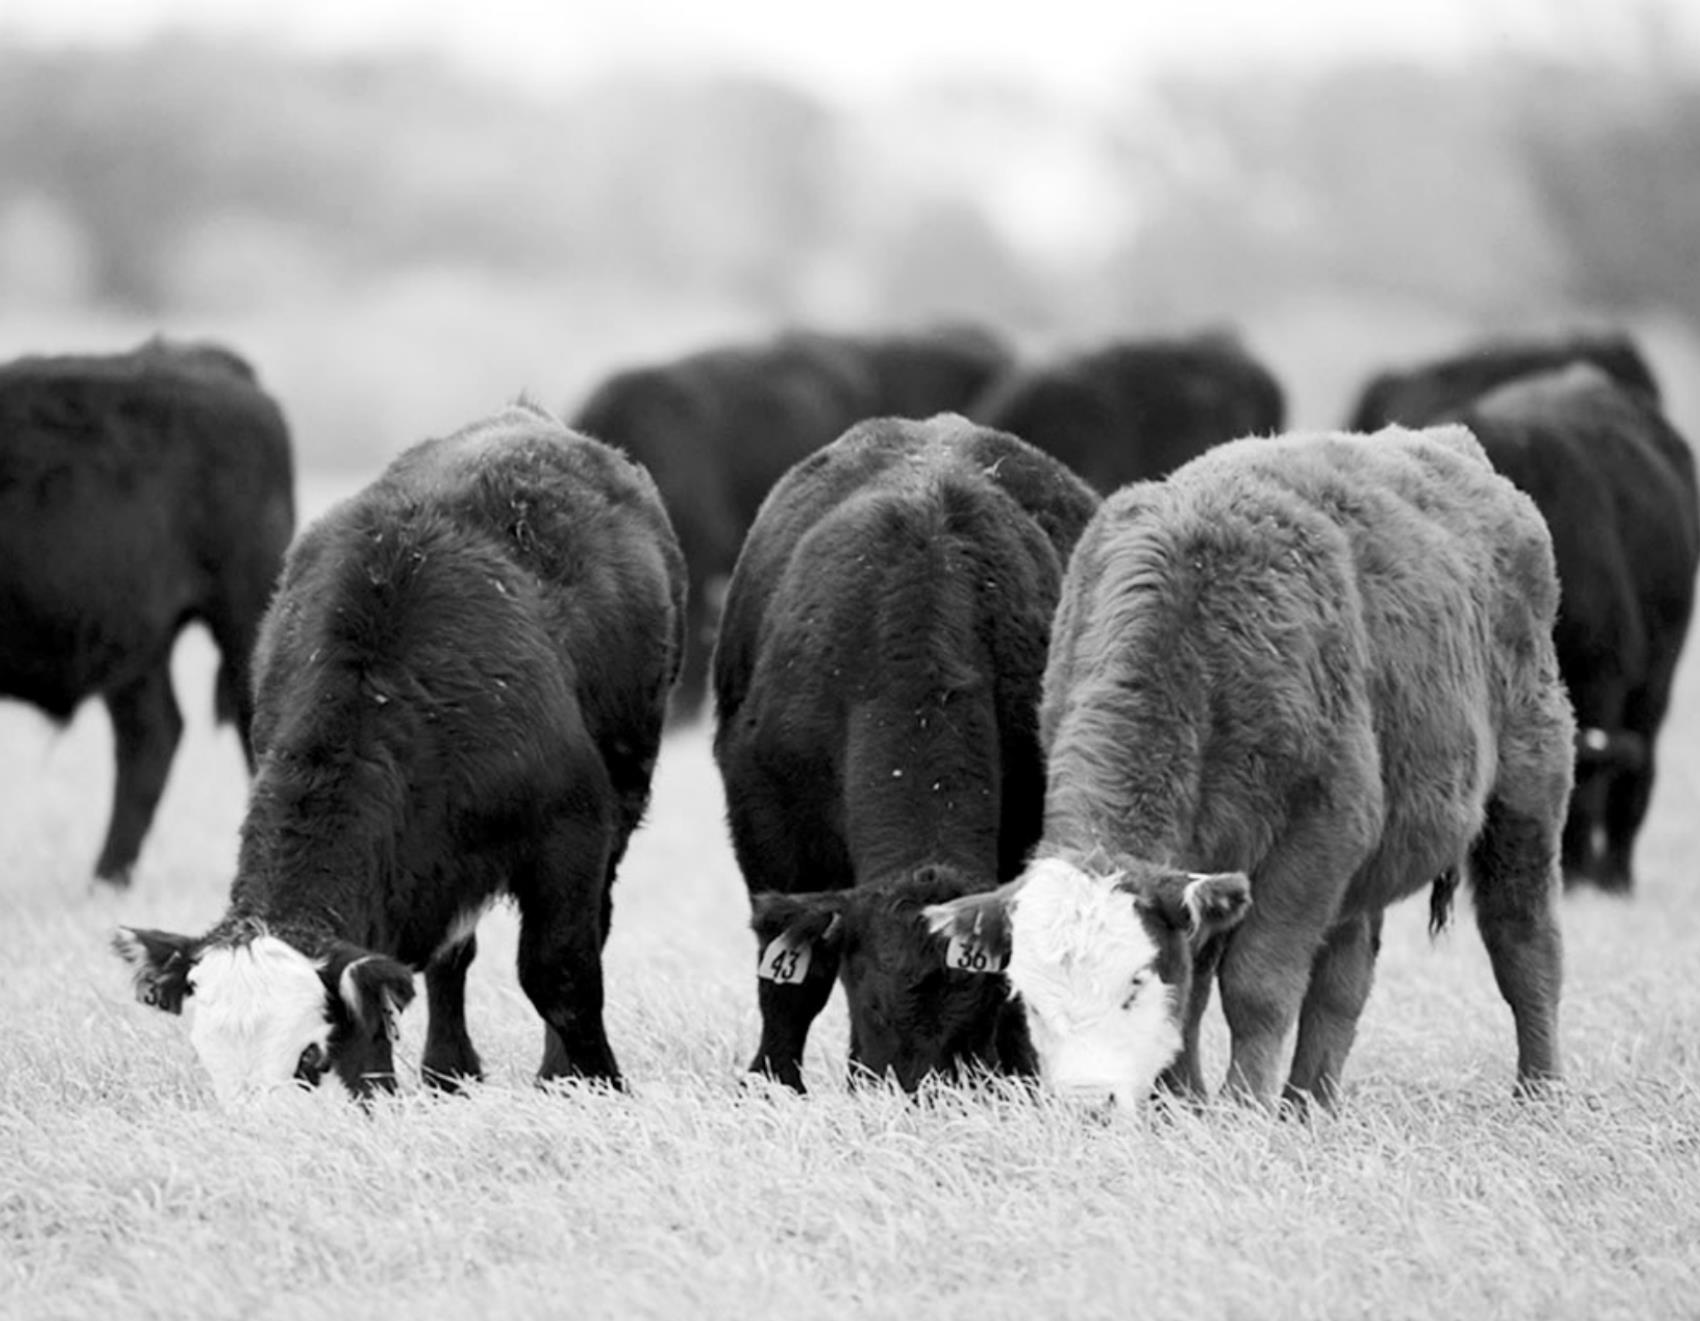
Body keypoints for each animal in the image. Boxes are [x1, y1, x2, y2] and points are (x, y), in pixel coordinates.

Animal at [113, 401, 685, 1107]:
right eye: (208, 1059)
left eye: (307, 1057)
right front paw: (410, 1082)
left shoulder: (570, 832)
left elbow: (561, 972)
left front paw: (591, 1080)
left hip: (621, 806)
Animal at [712, 413, 1099, 1093]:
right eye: (870, 998)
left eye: (983, 1000)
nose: (920, 1087)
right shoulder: (769, 824)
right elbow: (792, 982)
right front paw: (773, 1079)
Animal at [926, 426, 1575, 1113]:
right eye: (1030, 999)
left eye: (1134, 983)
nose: (1087, 1102)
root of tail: (1450, 447)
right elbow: (1192, 992)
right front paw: (1182, 1105)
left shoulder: (1317, 836)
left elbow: (1257, 985)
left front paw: (1241, 1108)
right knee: (1343, 980)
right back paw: (1308, 1103)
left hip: (1525, 801)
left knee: (1524, 942)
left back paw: (1539, 1091)